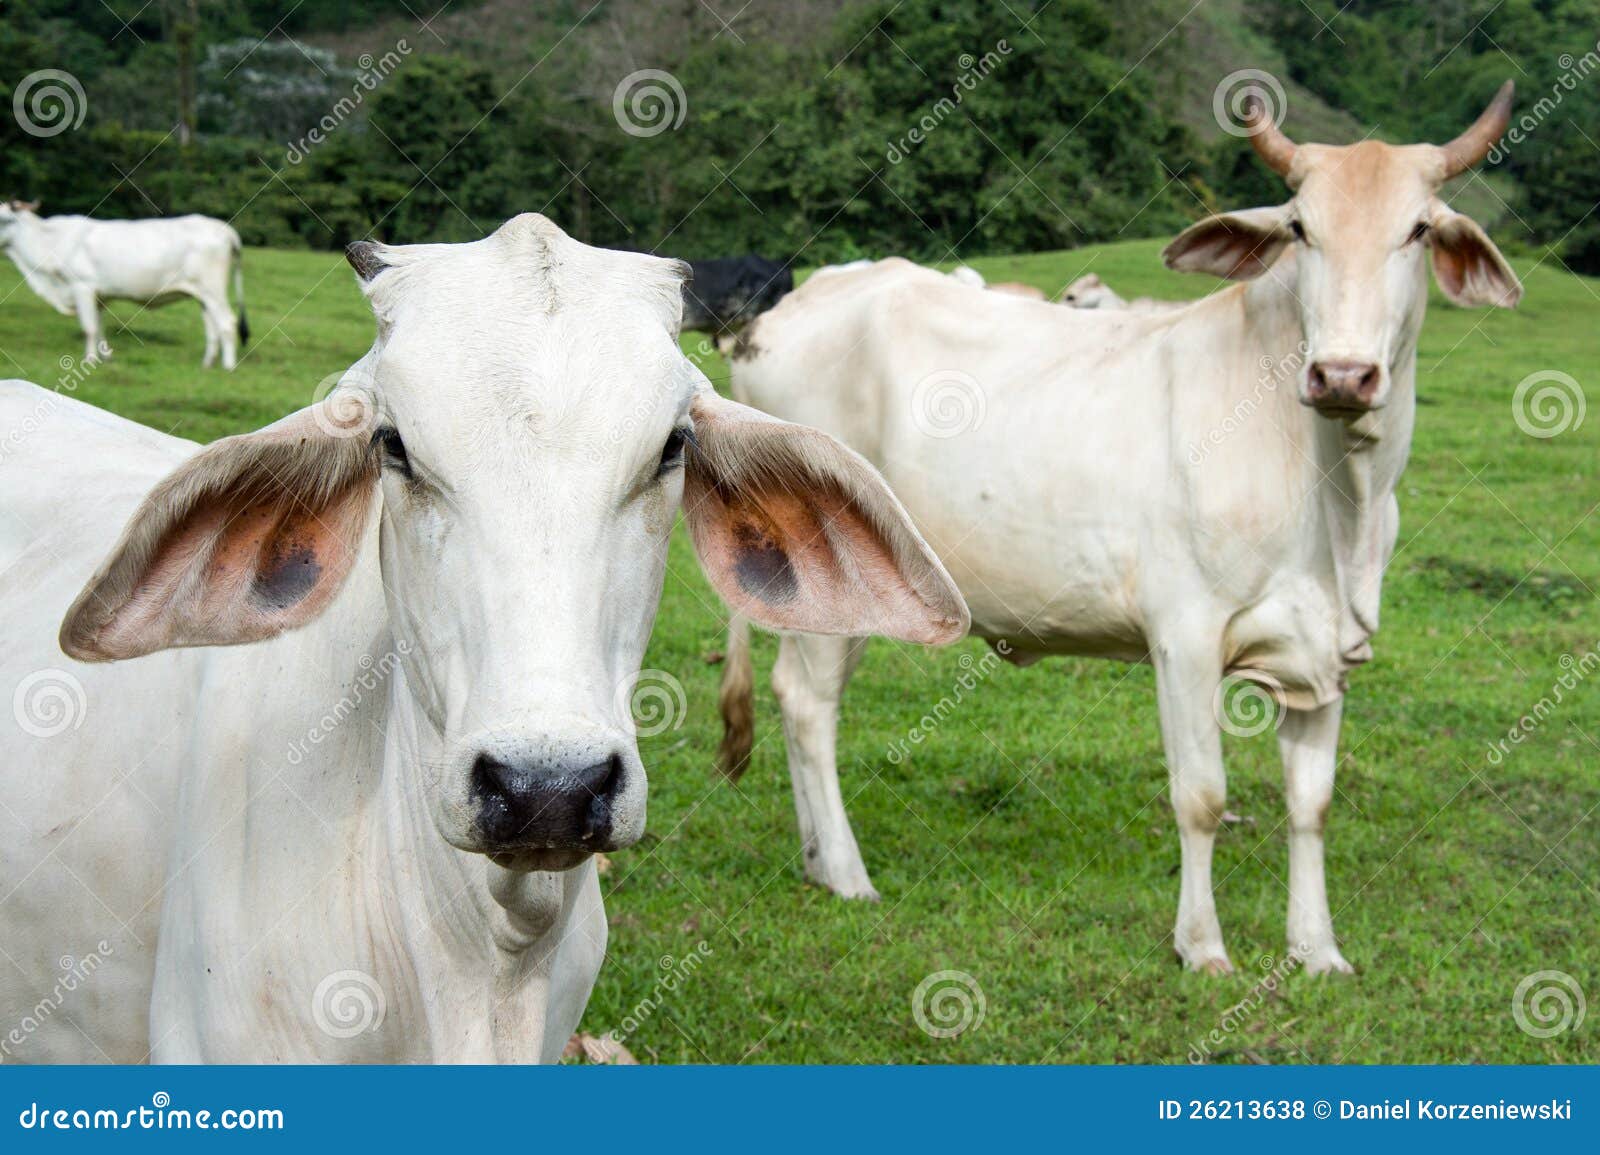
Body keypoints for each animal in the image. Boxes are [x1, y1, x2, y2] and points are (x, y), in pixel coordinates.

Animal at [0, 203, 247, 370]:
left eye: (3, 219)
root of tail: (223, 228)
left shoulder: (82, 287)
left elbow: (89, 328)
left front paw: (89, 359)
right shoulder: (98, 296)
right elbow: (99, 327)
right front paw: (104, 358)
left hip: (213, 290)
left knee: (227, 323)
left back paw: (228, 366)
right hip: (203, 295)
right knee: (212, 327)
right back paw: (207, 363)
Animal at [716, 85, 1522, 975]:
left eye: (1418, 230)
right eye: (1299, 228)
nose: (1343, 374)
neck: (1339, 499)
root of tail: (778, 316)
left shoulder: (1328, 652)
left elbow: (1311, 805)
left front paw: (1317, 948)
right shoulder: (1186, 633)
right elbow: (1201, 795)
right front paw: (1202, 946)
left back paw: (815, 861)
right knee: (808, 705)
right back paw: (849, 873)